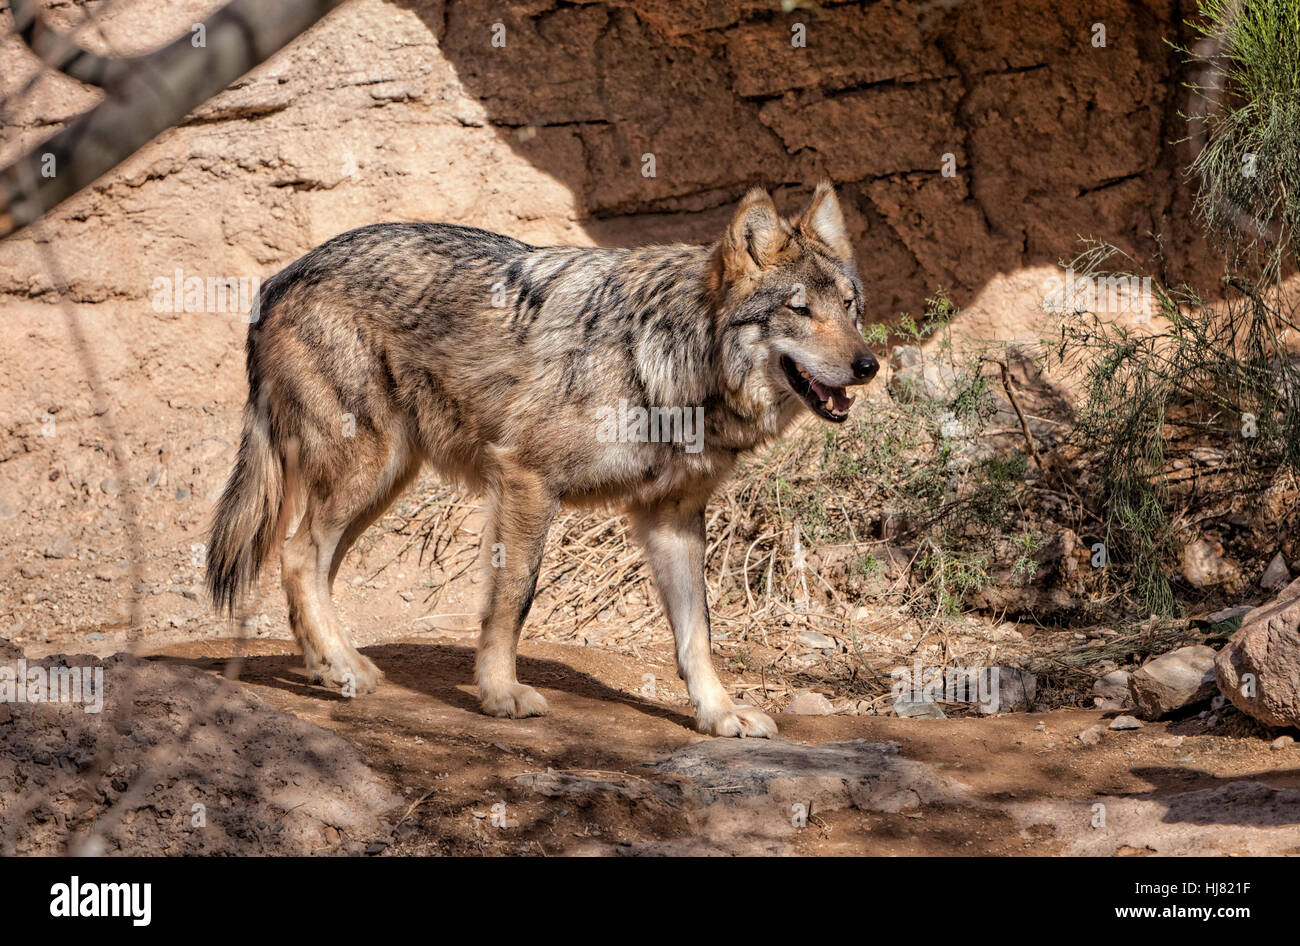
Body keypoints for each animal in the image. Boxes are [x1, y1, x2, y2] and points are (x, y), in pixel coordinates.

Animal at [208, 180, 878, 732]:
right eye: (799, 310)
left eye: (849, 306)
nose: (869, 365)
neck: (668, 360)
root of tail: (281, 276)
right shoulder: (526, 479)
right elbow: (514, 600)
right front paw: (500, 694)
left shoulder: (672, 518)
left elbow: (698, 634)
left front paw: (718, 714)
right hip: (367, 472)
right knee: (297, 556)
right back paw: (343, 669)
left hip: (384, 482)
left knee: (314, 565)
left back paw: (332, 668)